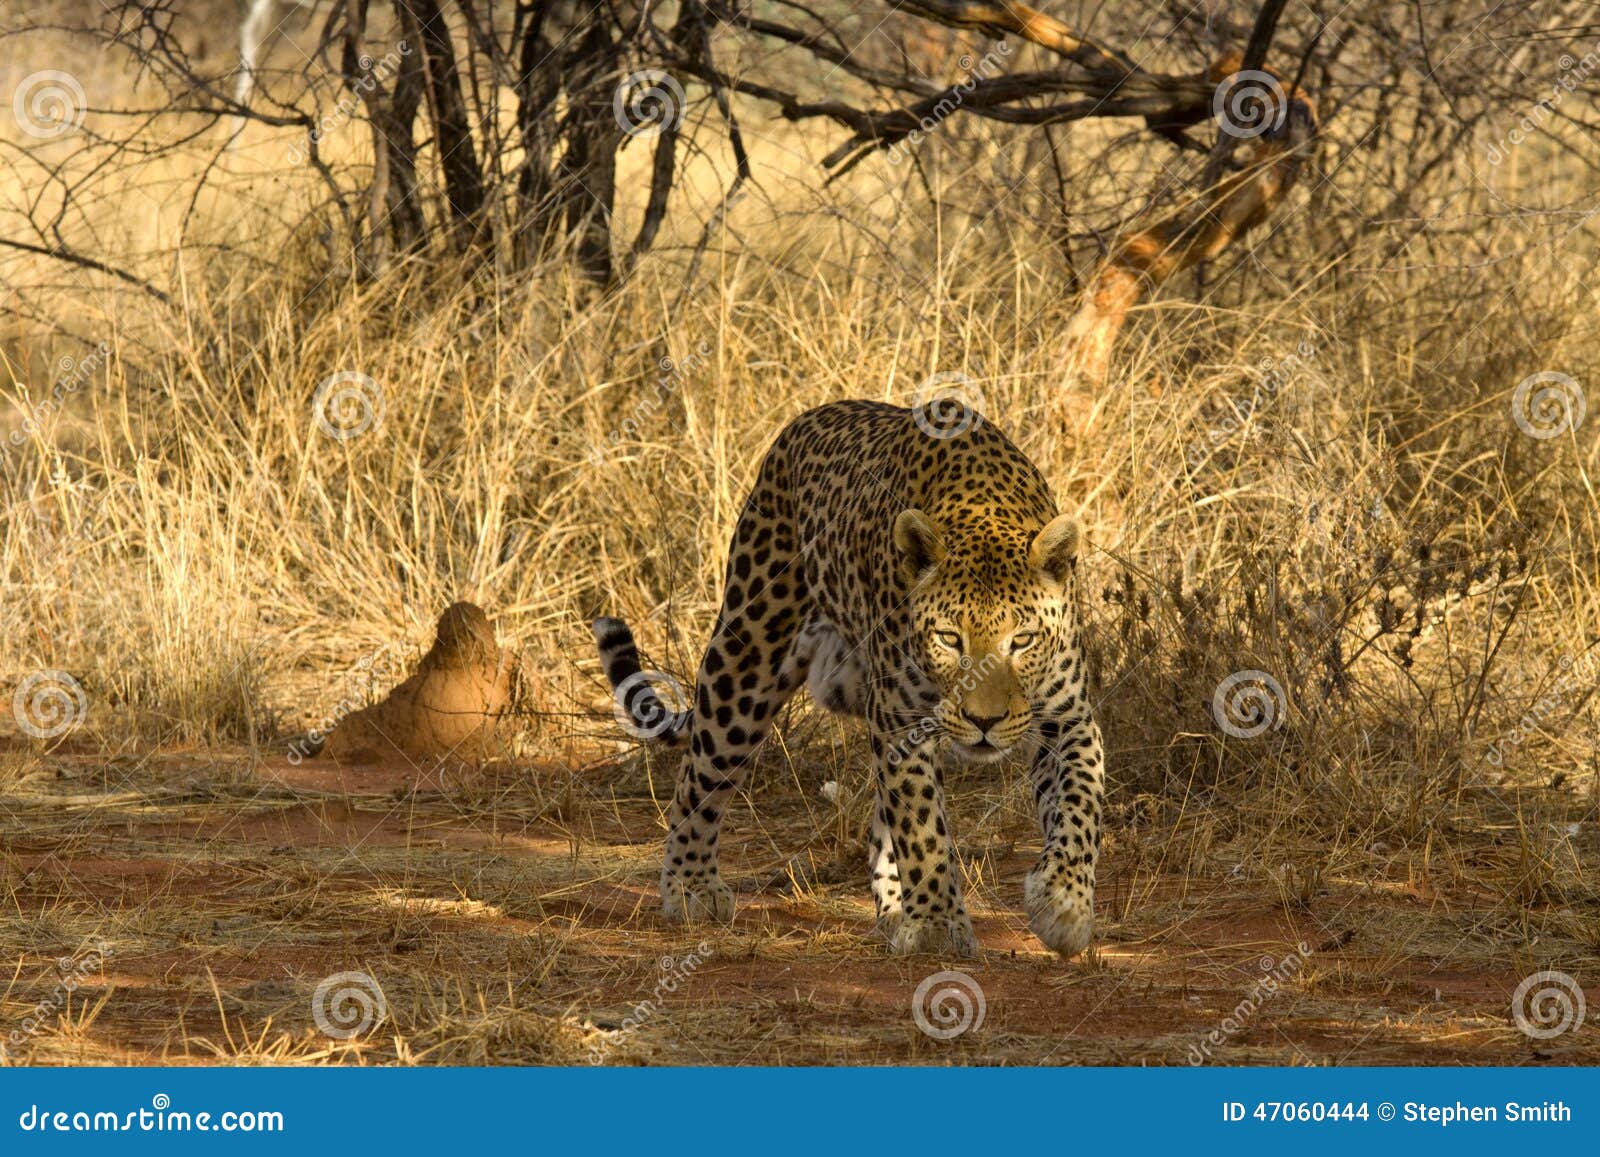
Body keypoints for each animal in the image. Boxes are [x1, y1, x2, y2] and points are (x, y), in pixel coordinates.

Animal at [593, 399, 1105, 958]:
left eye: (1023, 640)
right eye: (950, 639)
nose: (983, 722)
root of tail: (801, 425)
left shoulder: (1069, 718)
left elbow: (1080, 807)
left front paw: (1064, 906)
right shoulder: (902, 720)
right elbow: (922, 827)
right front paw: (937, 925)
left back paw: (895, 910)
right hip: (745, 661)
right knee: (699, 776)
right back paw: (691, 886)